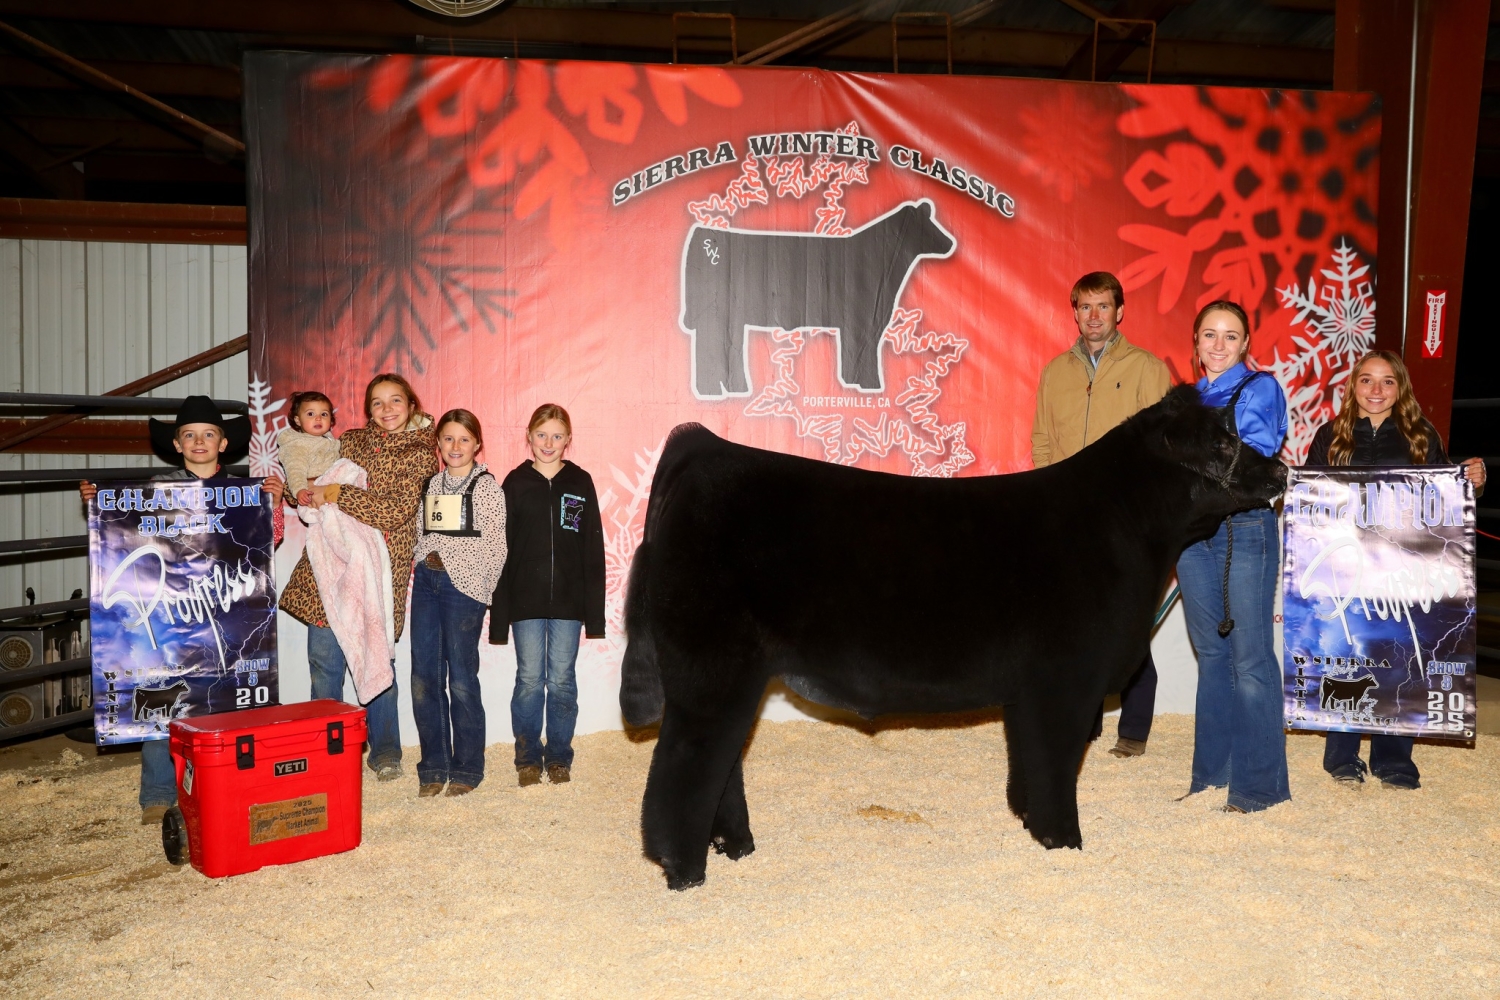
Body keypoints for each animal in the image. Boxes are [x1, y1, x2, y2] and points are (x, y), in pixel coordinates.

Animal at [619, 385, 1287, 890]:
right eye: (1222, 442)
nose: (1281, 467)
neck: (1125, 529)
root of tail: (704, 447)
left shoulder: (1032, 691)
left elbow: (1030, 763)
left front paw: (1031, 825)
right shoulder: (1064, 682)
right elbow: (1056, 765)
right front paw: (1065, 842)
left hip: (732, 674)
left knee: (721, 762)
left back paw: (737, 847)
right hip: (712, 667)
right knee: (684, 768)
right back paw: (686, 873)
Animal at [680, 199, 955, 399]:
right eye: (928, 225)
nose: (951, 242)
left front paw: (853, 382)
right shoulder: (864, 320)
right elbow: (864, 353)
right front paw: (870, 385)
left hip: (732, 321)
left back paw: (736, 389)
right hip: (714, 316)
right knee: (708, 349)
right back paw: (713, 392)